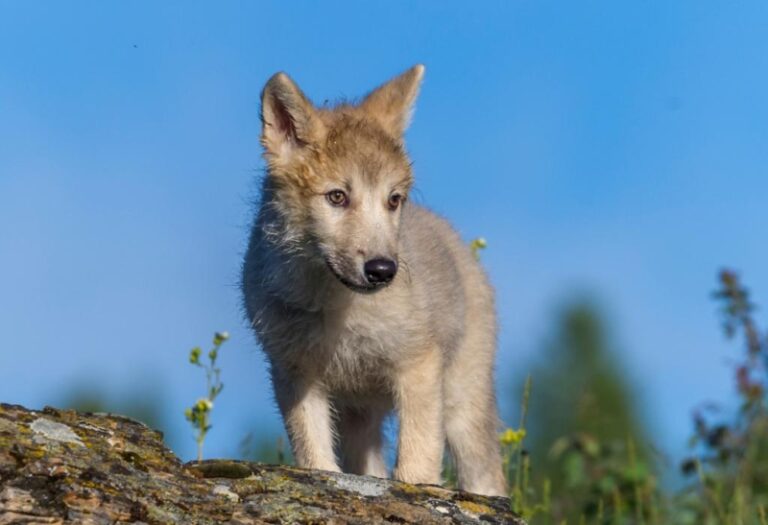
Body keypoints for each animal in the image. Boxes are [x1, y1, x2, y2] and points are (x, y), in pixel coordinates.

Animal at [241, 65, 507, 497]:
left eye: (393, 200)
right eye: (337, 197)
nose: (383, 270)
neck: (334, 308)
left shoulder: (418, 366)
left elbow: (417, 464)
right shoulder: (295, 373)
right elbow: (315, 457)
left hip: (463, 405)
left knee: (487, 480)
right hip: (359, 417)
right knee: (371, 468)